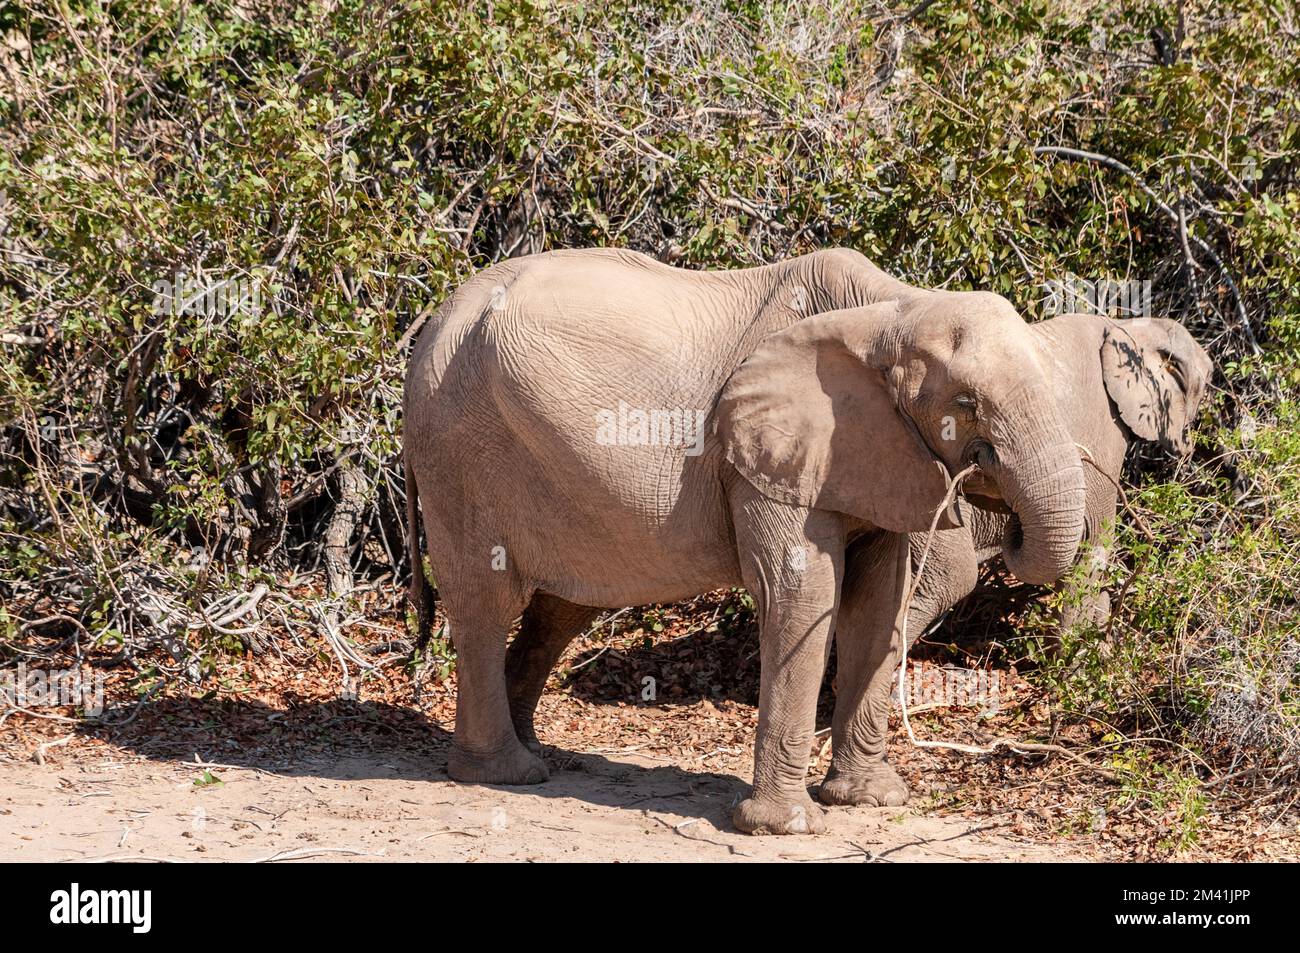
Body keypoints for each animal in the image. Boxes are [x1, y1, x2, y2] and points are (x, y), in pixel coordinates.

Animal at [403, 247, 1087, 835]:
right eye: (966, 403)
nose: (994, 504)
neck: (892, 309)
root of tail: (434, 320)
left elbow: (878, 603)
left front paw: (871, 800)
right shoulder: (760, 455)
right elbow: (803, 594)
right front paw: (788, 828)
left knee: (564, 606)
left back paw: (536, 753)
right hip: (458, 444)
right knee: (488, 601)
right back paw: (504, 774)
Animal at [818, 312, 1214, 809]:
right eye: (1204, 384)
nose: (1187, 452)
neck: (1128, 329)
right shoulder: (1104, 439)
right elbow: (1090, 553)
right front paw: (1078, 687)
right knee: (947, 581)